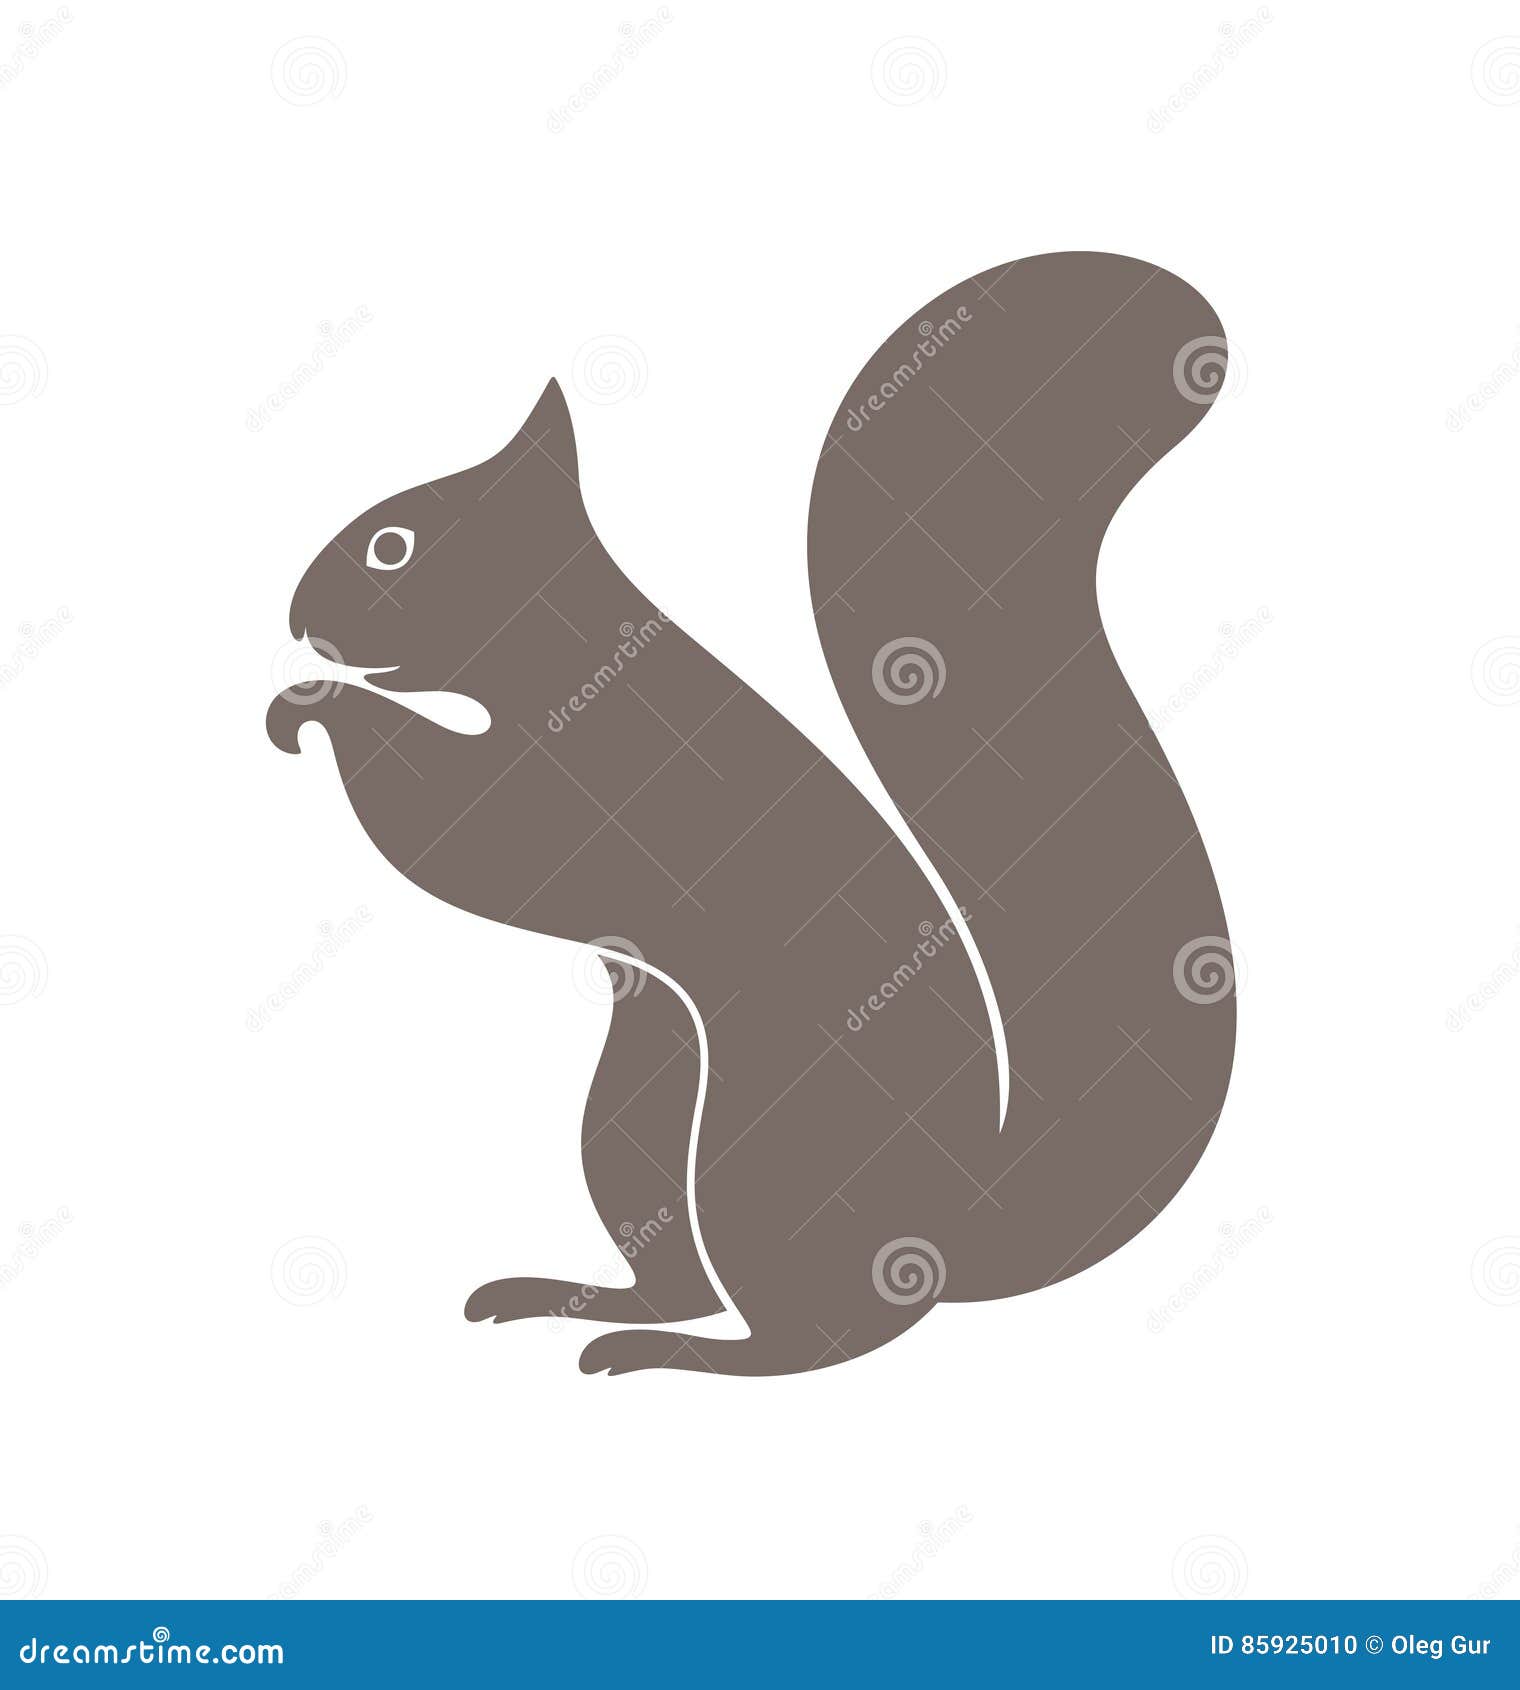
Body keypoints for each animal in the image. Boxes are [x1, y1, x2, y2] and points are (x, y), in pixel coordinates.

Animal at [265, 252, 1236, 1377]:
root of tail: (955, 1231)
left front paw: (318, 706)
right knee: (684, 1281)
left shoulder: (586, 782)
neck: (558, 646)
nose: (297, 619)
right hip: (638, 1126)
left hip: (755, 1150)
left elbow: (450, 822)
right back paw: (573, 1300)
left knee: (812, 1333)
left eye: (392, 545)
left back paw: (677, 1358)